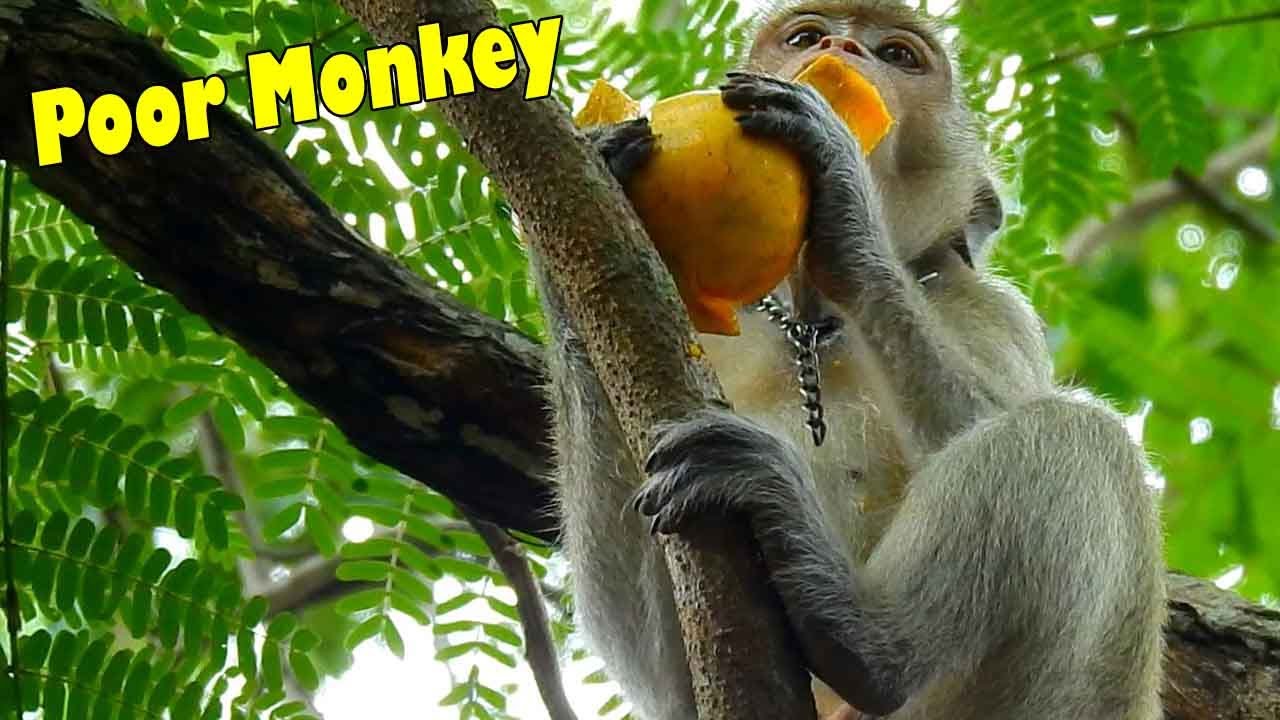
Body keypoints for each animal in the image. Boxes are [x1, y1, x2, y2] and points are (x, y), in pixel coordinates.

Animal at [530, 1, 1166, 718]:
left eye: (898, 56)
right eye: (805, 36)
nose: (840, 48)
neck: (809, 328)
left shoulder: (988, 306)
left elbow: (985, 413)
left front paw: (843, 192)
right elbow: (673, 681)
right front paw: (584, 193)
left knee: (1075, 432)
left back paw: (865, 641)